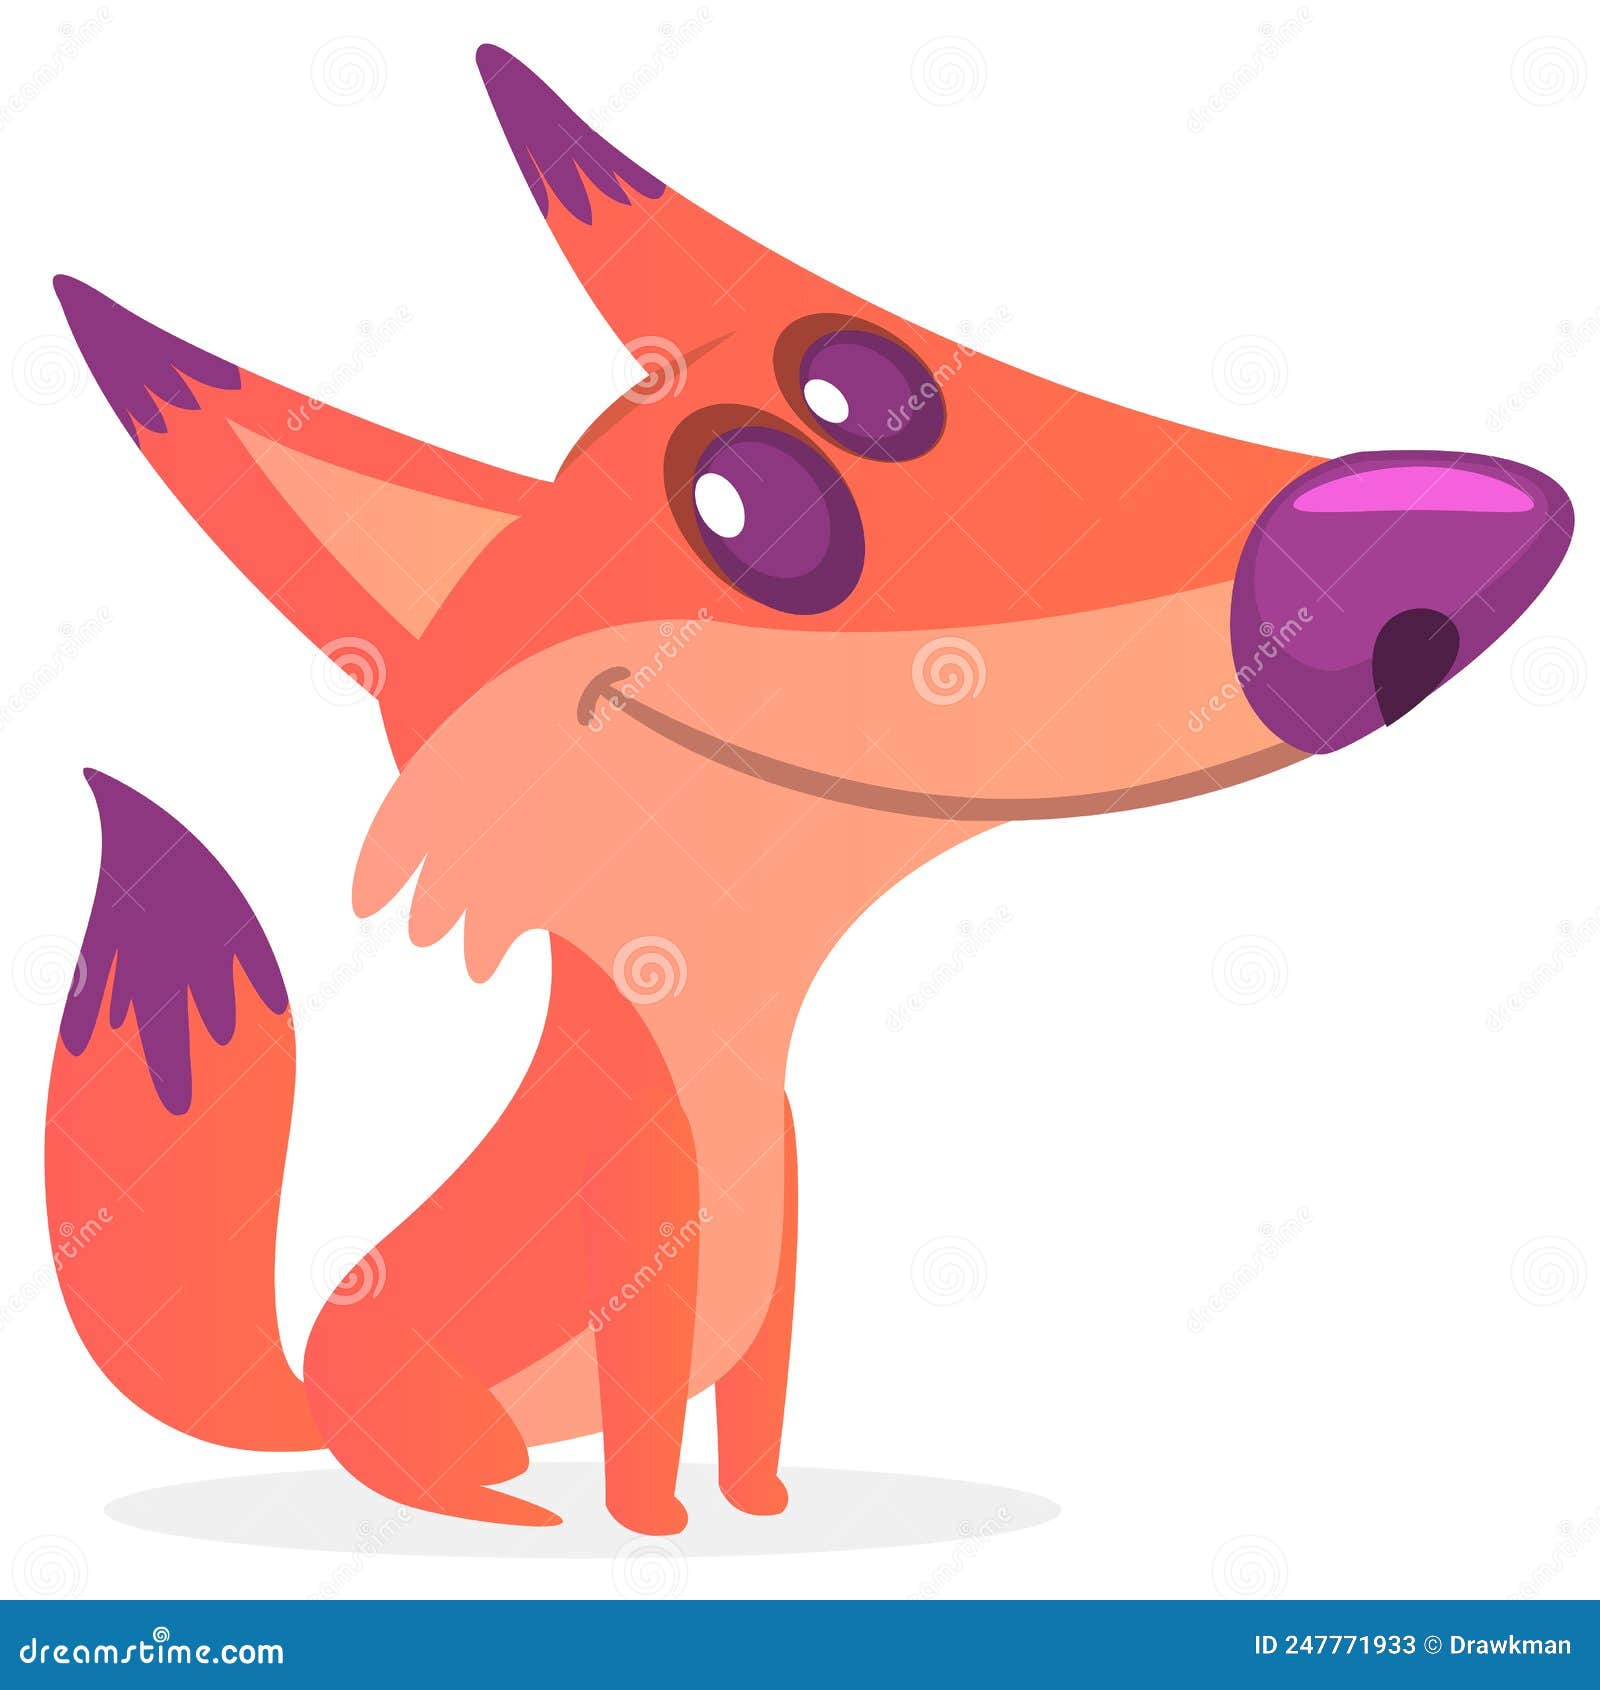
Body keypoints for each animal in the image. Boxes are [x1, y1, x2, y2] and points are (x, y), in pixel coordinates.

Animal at [48, 44, 1574, 1536]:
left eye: (870, 381)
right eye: (756, 508)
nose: (1427, 557)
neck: (722, 1042)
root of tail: (304, 1357)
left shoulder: (777, 1267)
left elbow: (758, 1395)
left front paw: (762, 1507)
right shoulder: (636, 1259)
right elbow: (650, 1408)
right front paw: (657, 1532)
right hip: (421, 1392)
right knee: (419, 1455)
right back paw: (496, 1506)